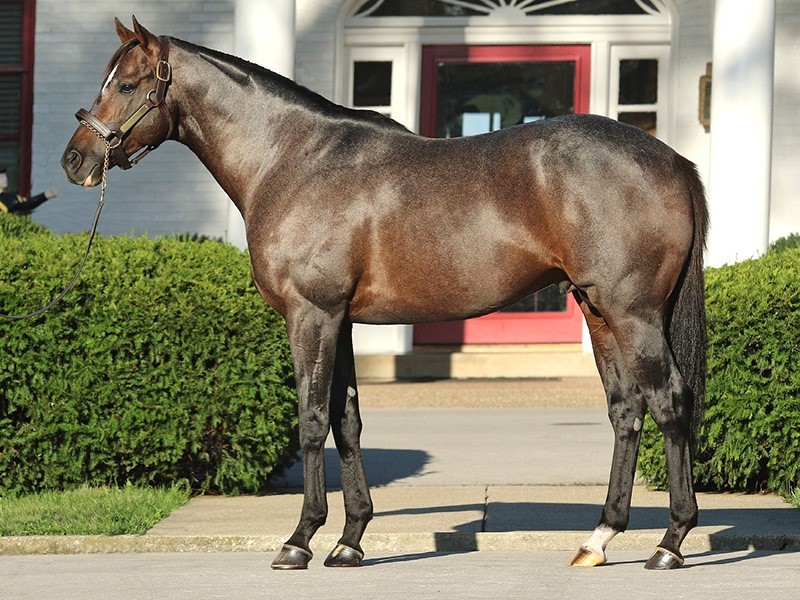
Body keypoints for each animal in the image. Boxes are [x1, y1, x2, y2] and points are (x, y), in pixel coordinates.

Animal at [62, 18, 708, 571]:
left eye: (126, 84)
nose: (75, 161)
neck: (292, 159)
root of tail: (672, 160)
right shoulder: (340, 320)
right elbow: (346, 421)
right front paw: (349, 541)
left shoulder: (311, 315)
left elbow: (312, 419)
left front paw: (299, 540)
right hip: (598, 310)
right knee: (626, 410)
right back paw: (599, 539)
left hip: (632, 312)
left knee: (669, 401)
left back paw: (670, 543)